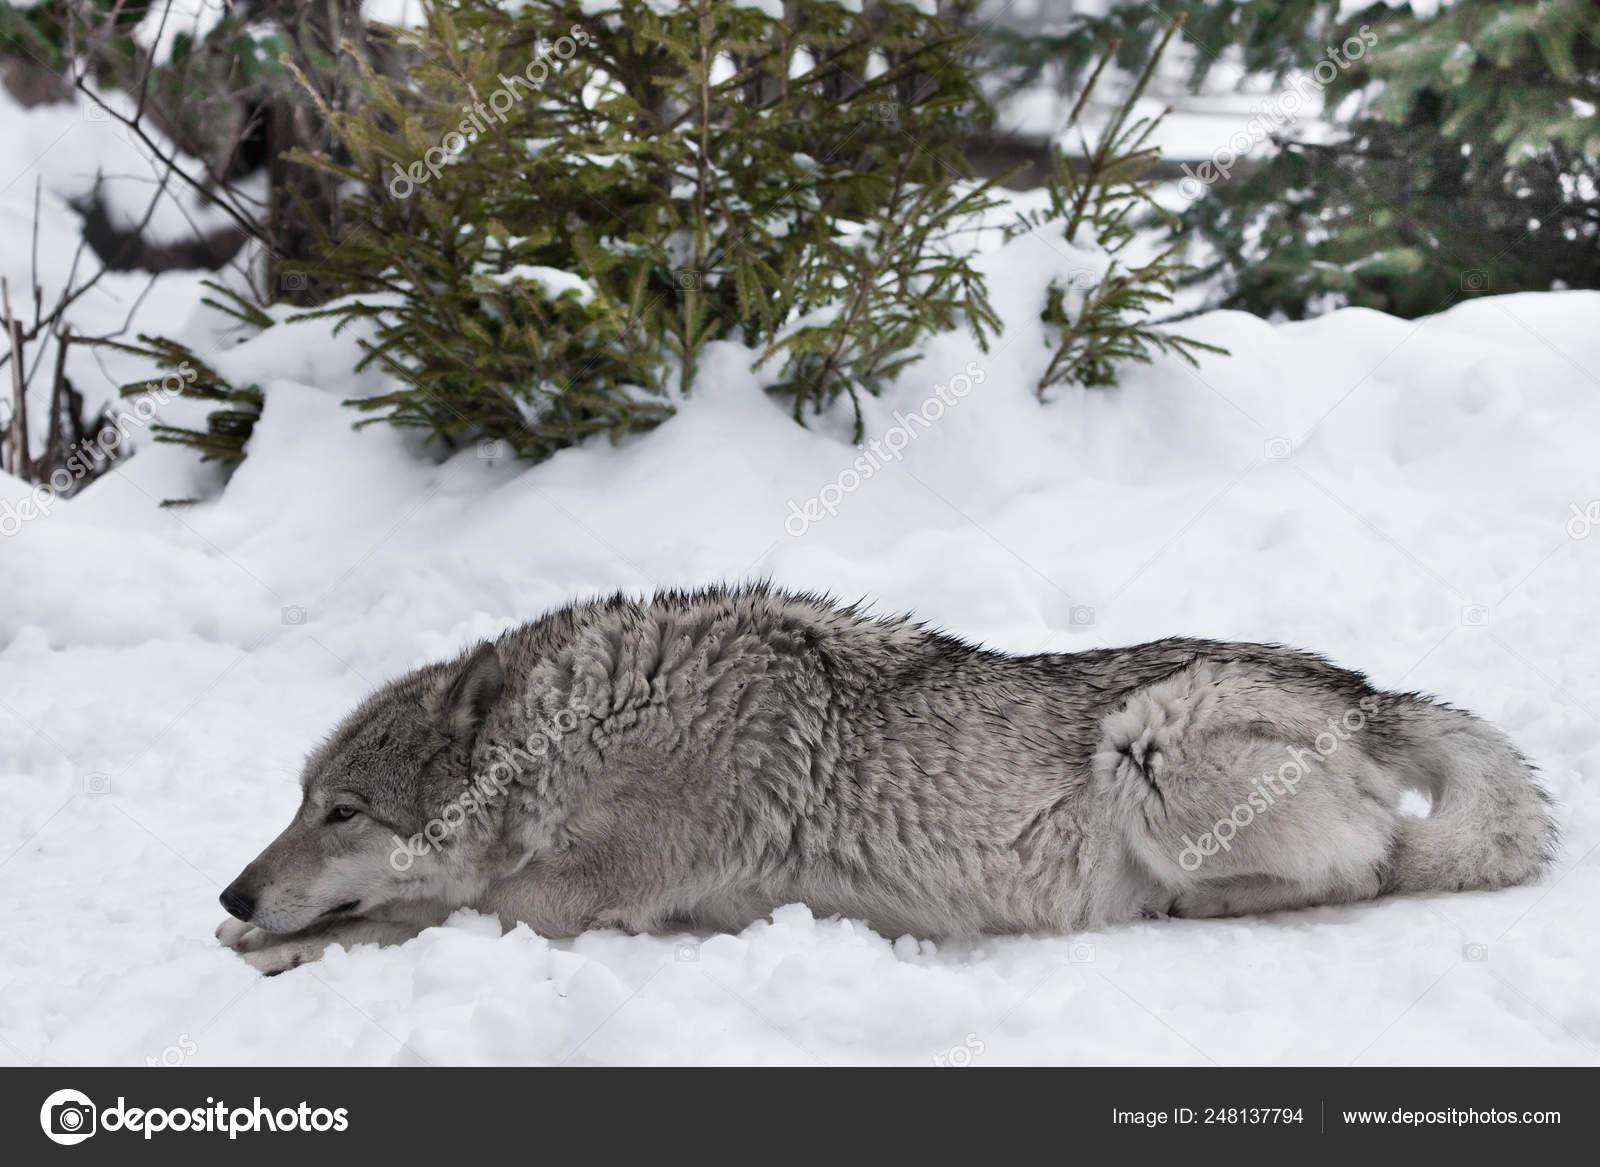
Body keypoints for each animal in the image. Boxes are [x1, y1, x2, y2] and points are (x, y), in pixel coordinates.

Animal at [217, 583, 1557, 973]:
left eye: (342, 811)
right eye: (297, 800)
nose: (233, 892)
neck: (579, 732)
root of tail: (1359, 687)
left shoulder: (562, 903)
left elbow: (410, 914)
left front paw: (277, 949)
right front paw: (256, 936)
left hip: (1151, 739)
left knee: (1368, 868)